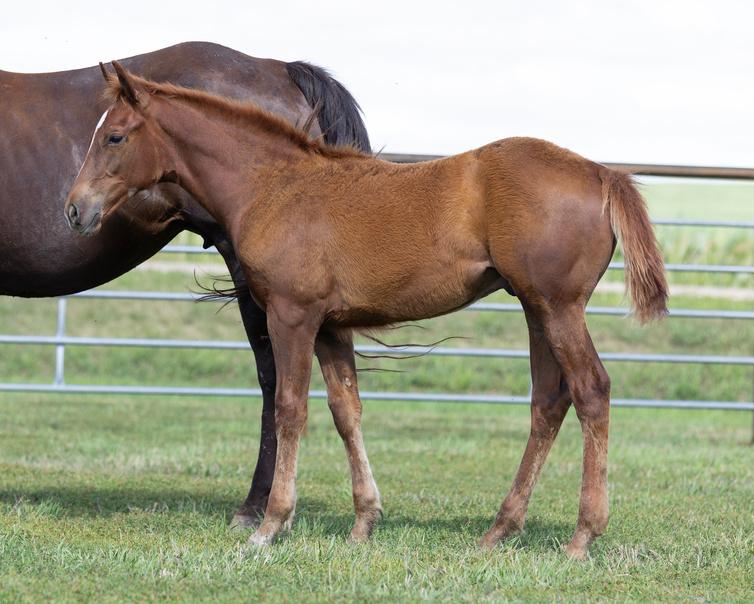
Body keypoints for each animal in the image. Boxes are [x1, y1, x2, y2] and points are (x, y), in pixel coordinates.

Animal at [65, 63, 668, 558]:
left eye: (114, 135)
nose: (75, 209)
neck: (275, 186)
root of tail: (601, 173)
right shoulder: (332, 327)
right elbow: (345, 411)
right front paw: (364, 523)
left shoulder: (292, 316)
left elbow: (290, 409)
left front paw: (271, 526)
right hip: (536, 309)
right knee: (548, 402)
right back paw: (499, 530)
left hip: (558, 307)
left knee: (591, 390)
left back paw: (582, 536)